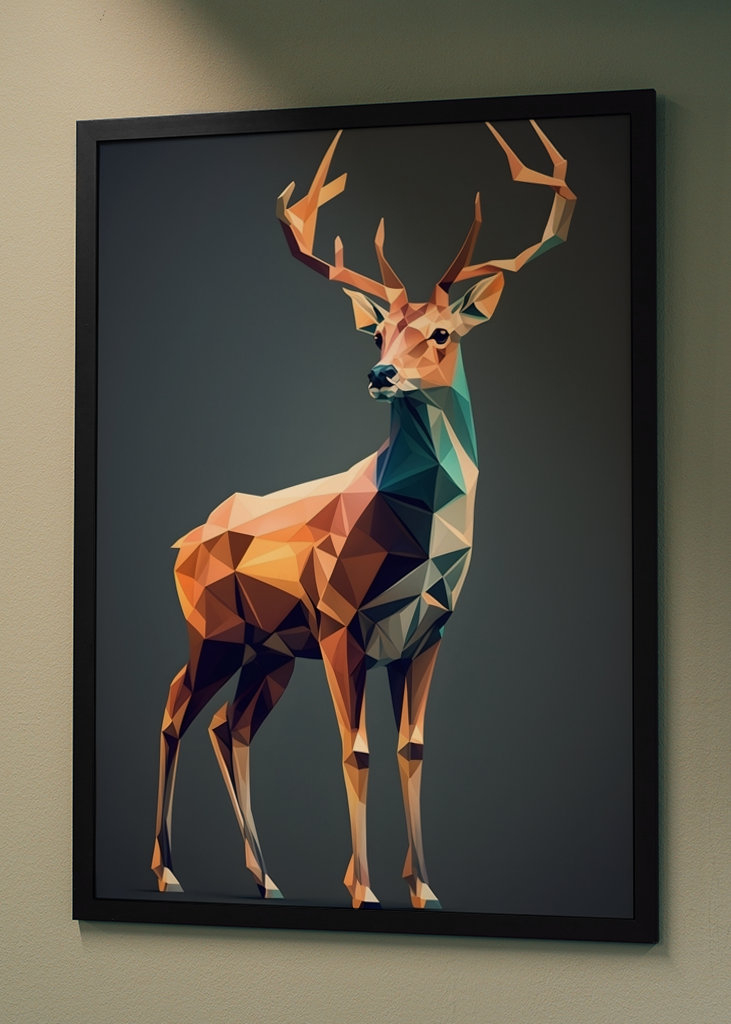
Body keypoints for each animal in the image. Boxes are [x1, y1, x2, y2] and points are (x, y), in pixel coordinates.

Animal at [151, 119, 576, 909]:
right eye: (376, 334)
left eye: (441, 332)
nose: (380, 374)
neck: (417, 531)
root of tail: (181, 543)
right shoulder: (340, 624)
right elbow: (355, 753)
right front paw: (364, 892)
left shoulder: (427, 633)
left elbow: (411, 747)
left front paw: (424, 890)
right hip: (214, 630)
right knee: (173, 711)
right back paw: (166, 871)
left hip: (271, 651)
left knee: (229, 726)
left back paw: (267, 878)